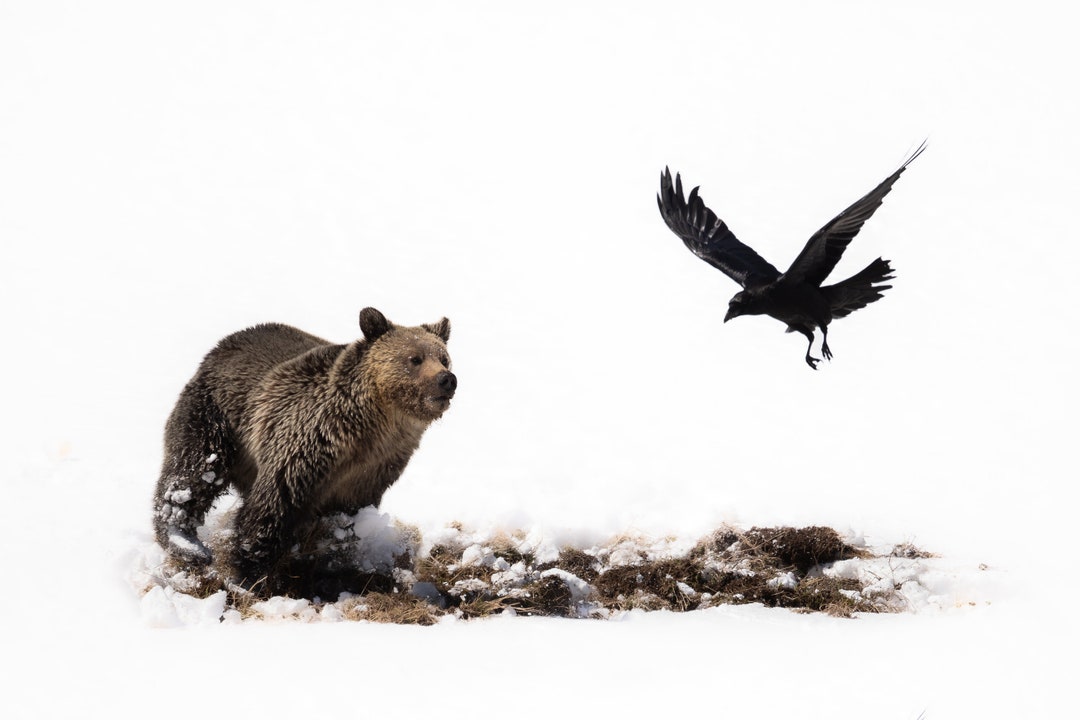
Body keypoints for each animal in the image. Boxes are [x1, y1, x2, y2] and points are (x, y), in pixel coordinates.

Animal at [153, 307, 455, 595]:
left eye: (444, 357)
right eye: (414, 358)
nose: (447, 379)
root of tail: (220, 347)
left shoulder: (372, 471)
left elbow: (344, 521)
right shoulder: (305, 443)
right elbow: (272, 506)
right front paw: (250, 576)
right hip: (215, 416)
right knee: (193, 472)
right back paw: (186, 543)